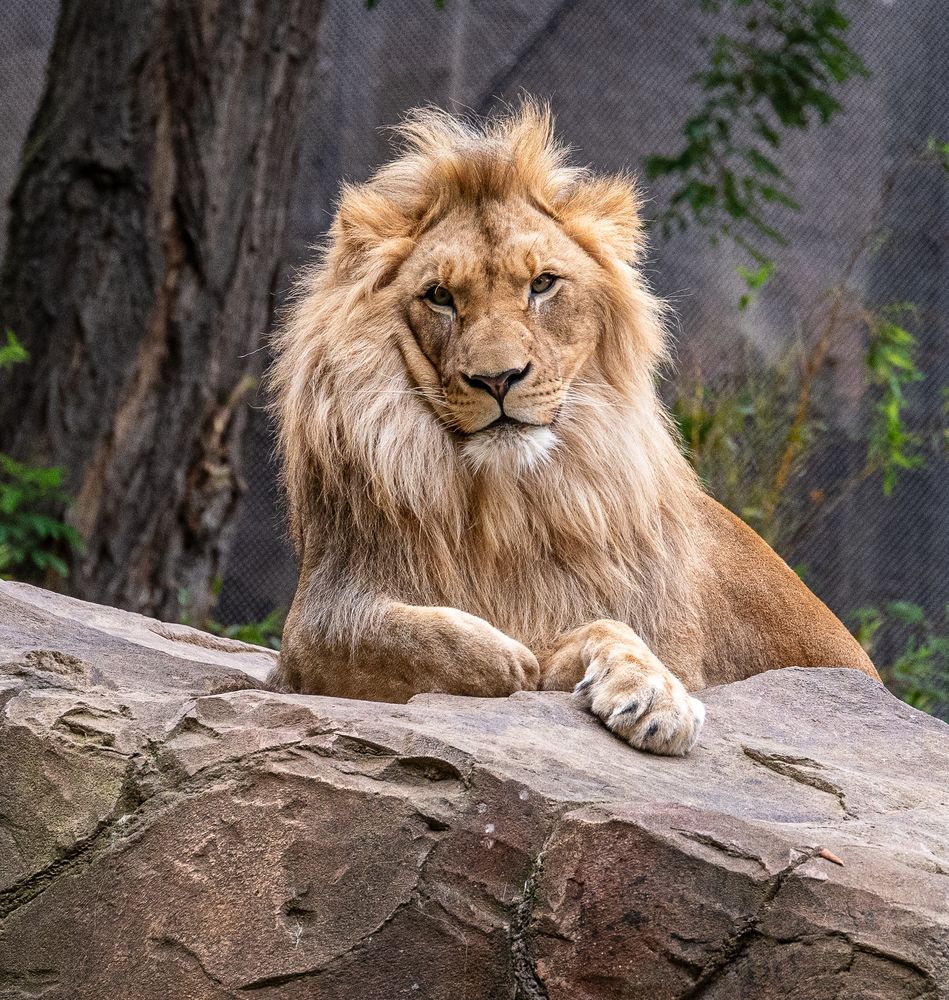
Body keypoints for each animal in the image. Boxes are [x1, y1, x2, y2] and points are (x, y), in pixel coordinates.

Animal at [268, 100, 878, 756]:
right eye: (439, 296)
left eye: (542, 284)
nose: (498, 378)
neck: (506, 502)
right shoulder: (317, 619)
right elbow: (416, 638)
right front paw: (510, 660)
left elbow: (610, 631)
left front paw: (654, 697)